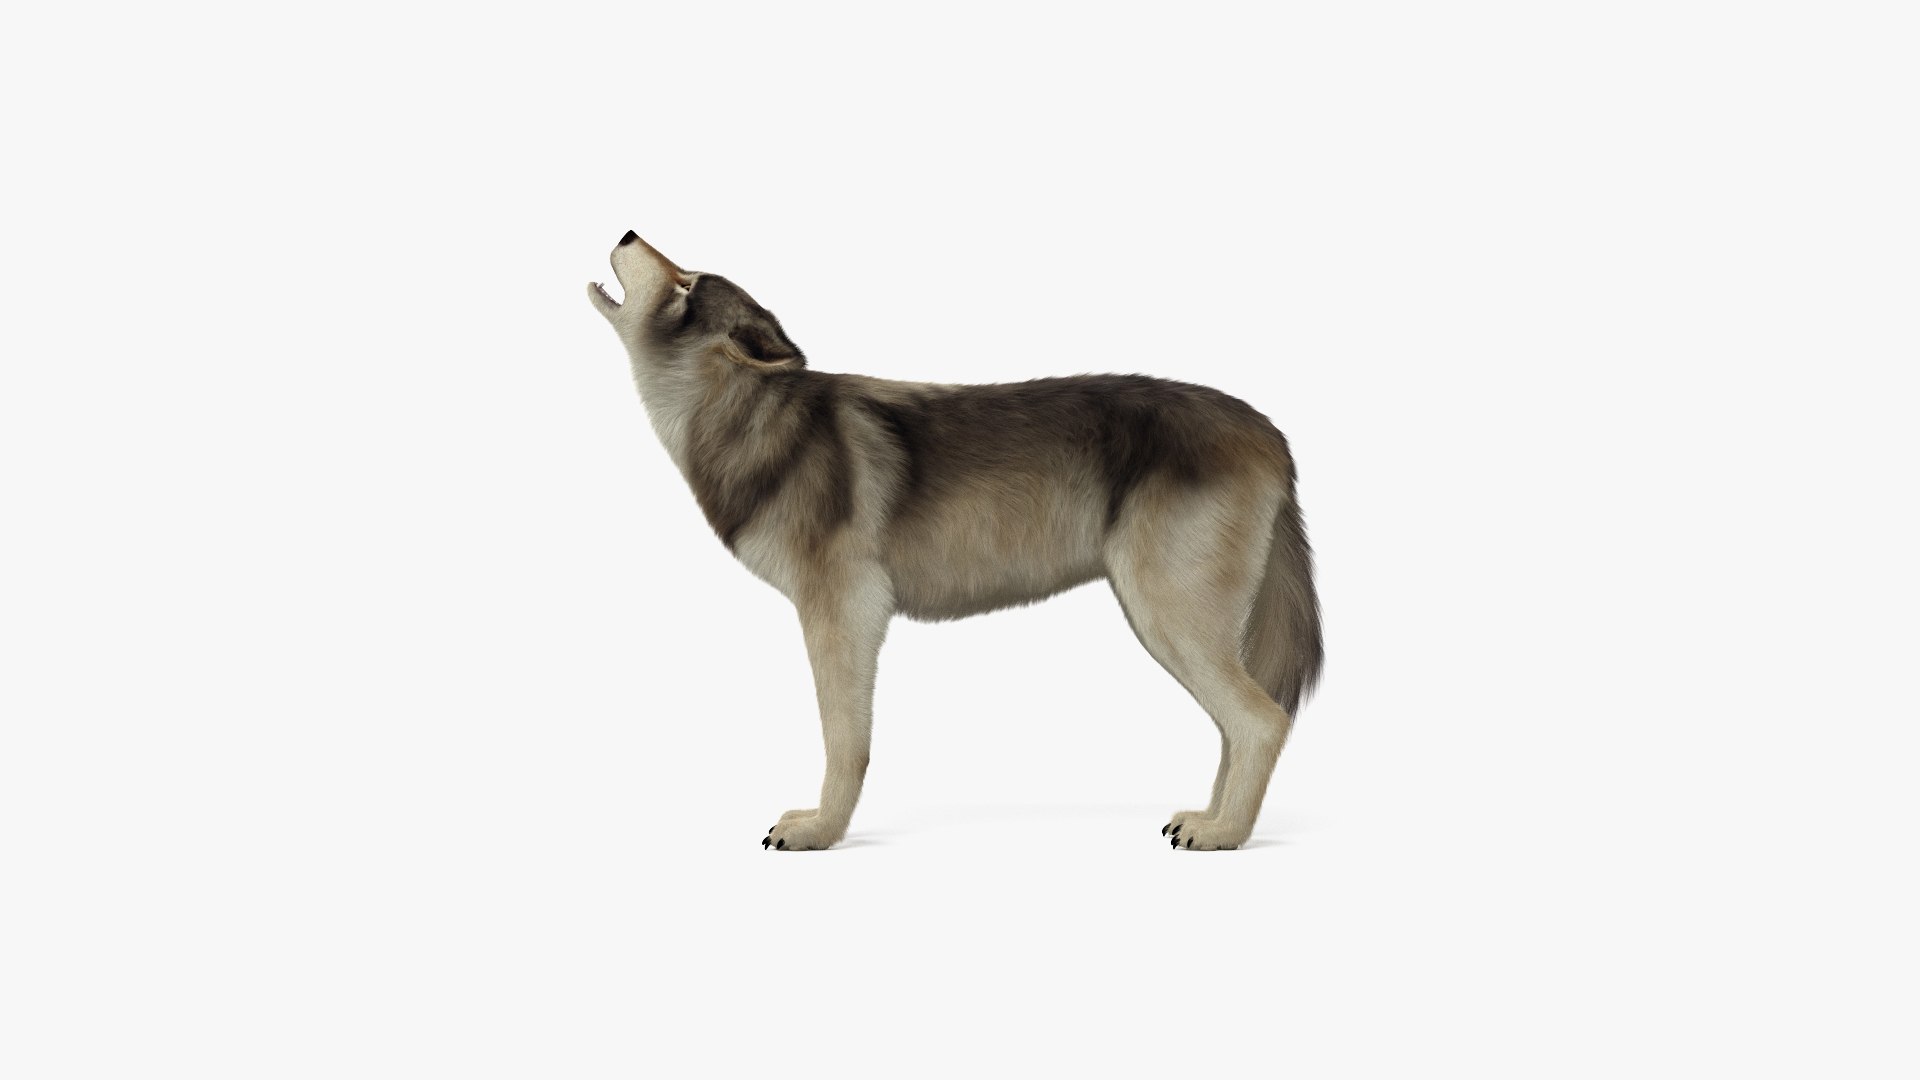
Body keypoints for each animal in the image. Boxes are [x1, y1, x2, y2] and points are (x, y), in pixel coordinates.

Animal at [589, 230, 1322, 850]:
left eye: (687, 286)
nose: (626, 232)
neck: (753, 419)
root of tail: (1270, 431)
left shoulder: (840, 615)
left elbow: (844, 742)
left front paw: (820, 832)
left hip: (1165, 615)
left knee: (1262, 721)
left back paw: (1223, 833)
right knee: (1234, 727)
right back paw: (1209, 817)